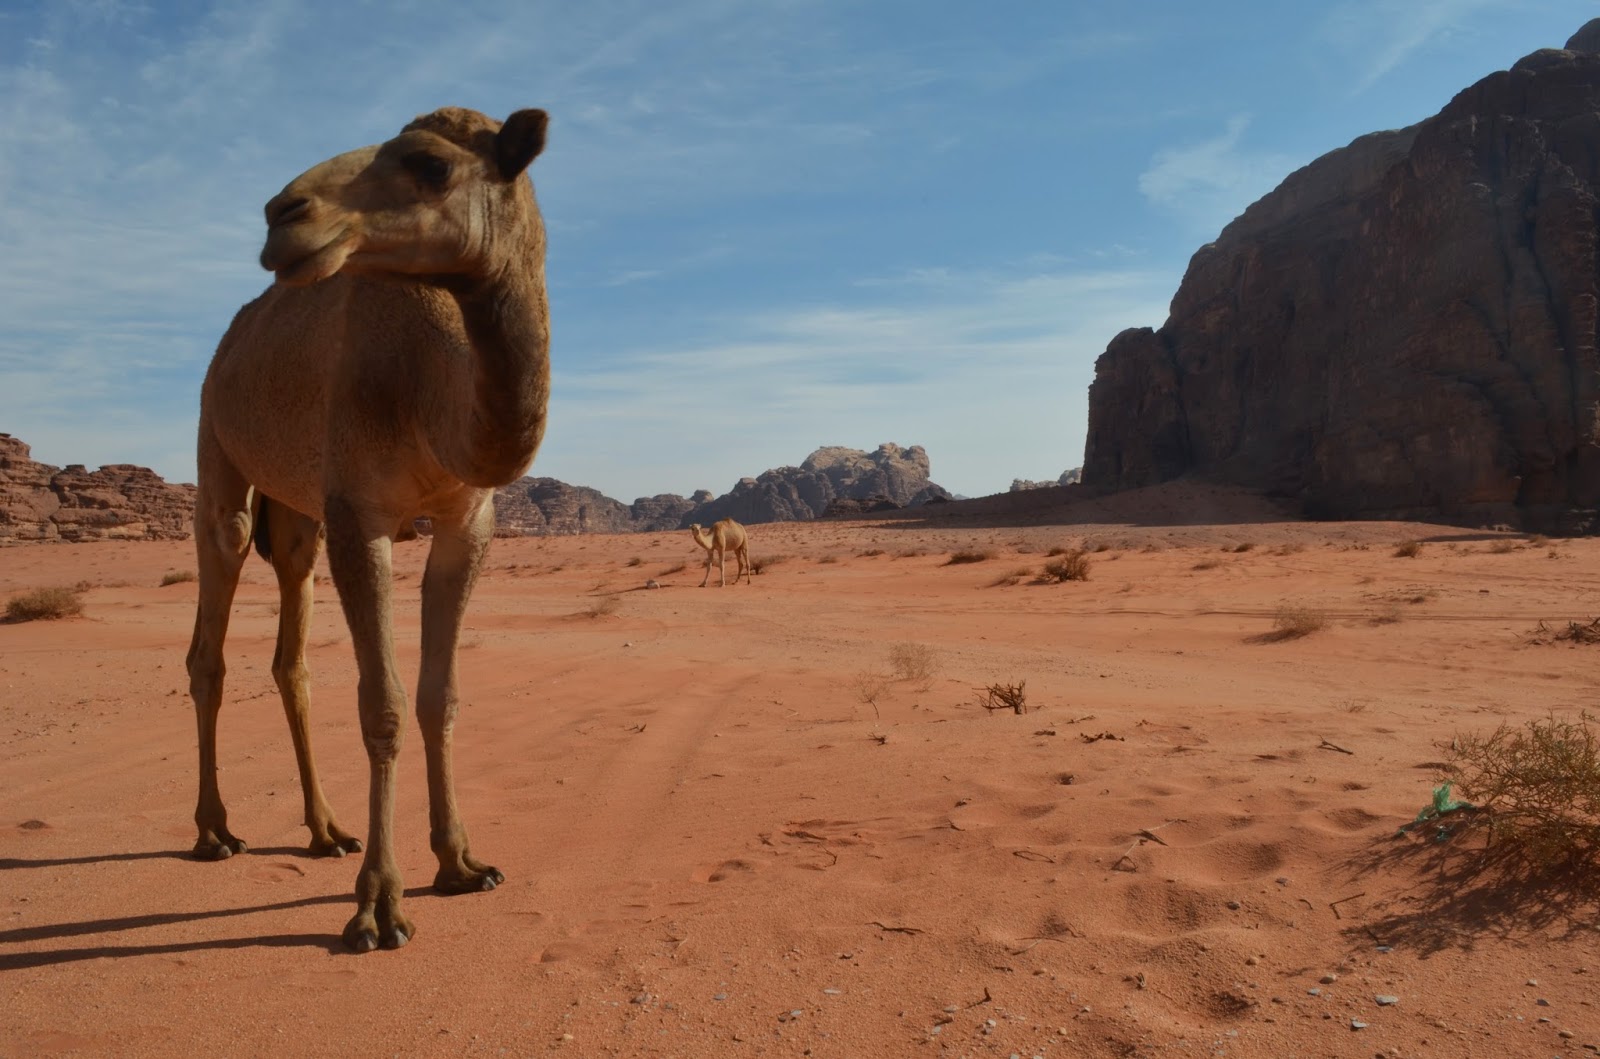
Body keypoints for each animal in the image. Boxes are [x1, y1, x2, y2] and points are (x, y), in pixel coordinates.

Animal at [185, 106, 552, 952]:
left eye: (430, 164)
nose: (282, 213)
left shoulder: (467, 519)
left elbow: (438, 695)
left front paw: (461, 862)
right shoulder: (362, 512)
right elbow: (380, 703)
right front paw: (380, 905)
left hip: (298, 514)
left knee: (290, 651)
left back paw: (325, 828)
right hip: (217, 446)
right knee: (211, 635)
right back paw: (214, 831)